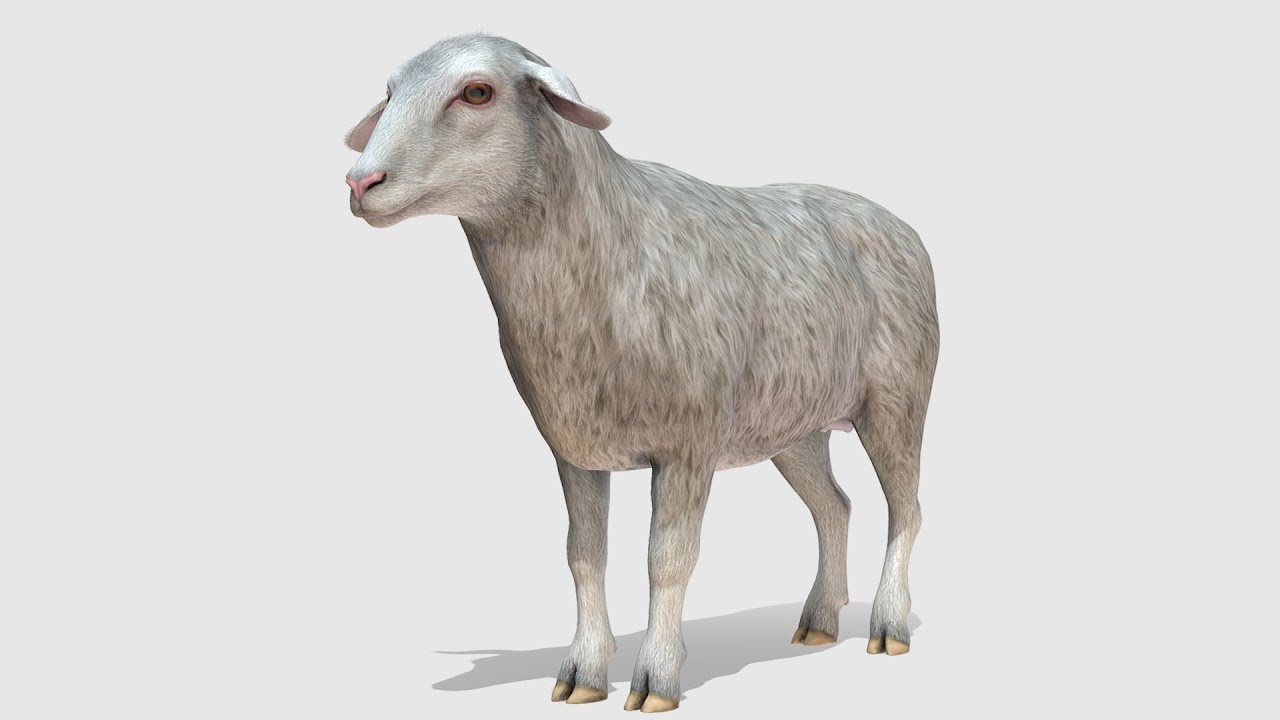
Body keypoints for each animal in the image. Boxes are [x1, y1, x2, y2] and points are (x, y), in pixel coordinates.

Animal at [344, 32, 939, 712]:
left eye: (476, 92)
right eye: (390, 91)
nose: (360, 182)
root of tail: (895, 221)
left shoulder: (688, 445)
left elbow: (668, 560)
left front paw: (656, 678)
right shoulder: (572, 450)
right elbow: (583, 556)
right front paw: (582, 673)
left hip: (897, 399)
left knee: (906, 508)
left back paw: (888, 626)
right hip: (794, 426)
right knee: (834, 507)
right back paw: (818, 620)